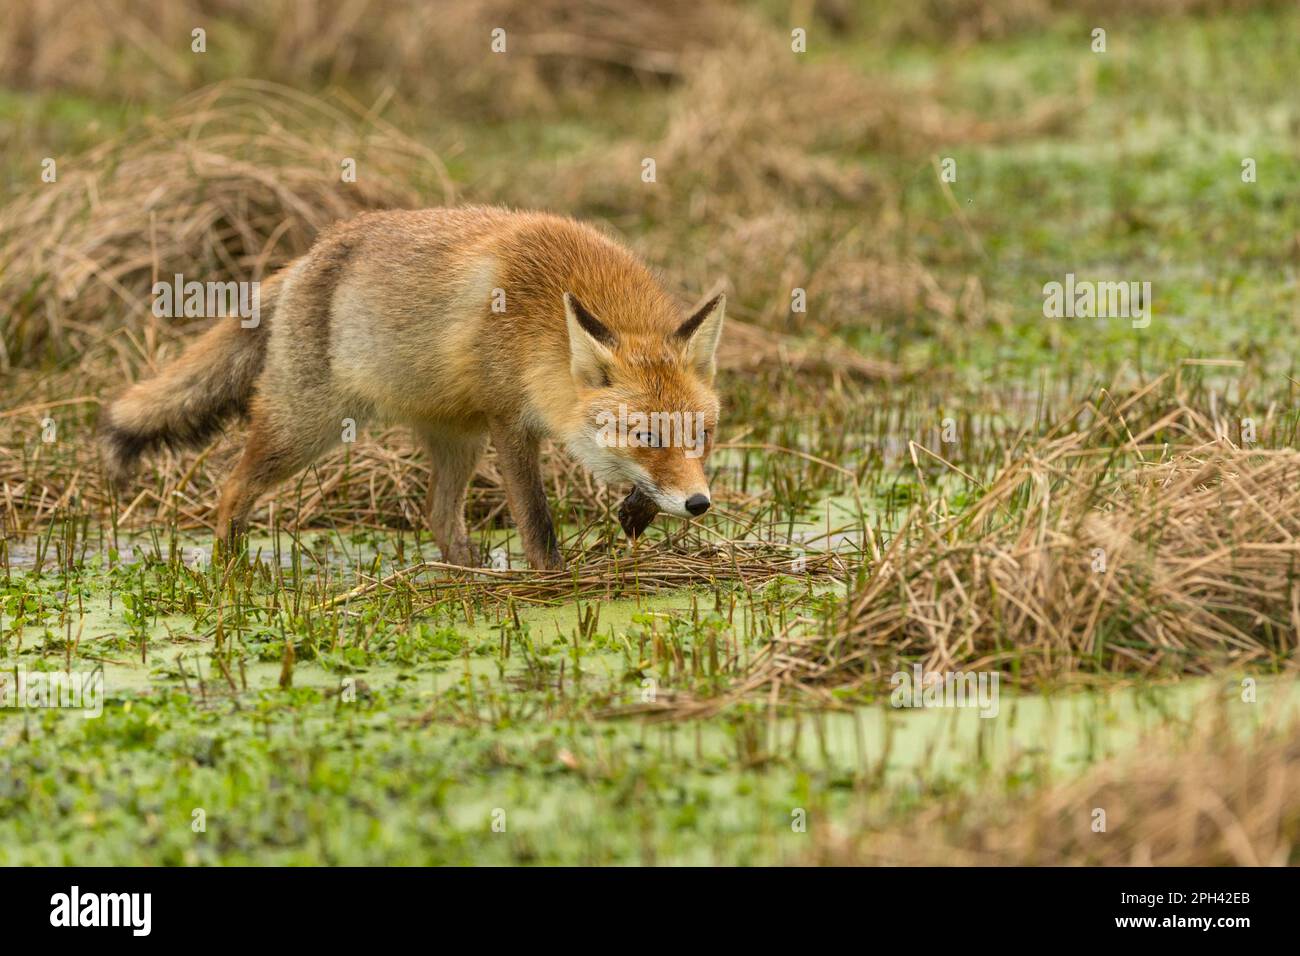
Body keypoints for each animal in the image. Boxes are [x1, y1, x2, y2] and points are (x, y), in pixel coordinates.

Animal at [98, 206, 726, 570]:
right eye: (645, 436)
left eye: (701, 436)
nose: (700, 504)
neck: (542, 315)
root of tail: (305, 258)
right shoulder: (509, 419)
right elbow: (536, 519)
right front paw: (552, 582)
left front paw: (639, 511)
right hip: (304, 428)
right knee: (232, 488)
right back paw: (228, 571)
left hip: (458, 441)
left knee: (438, 518)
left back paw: (470, 572)